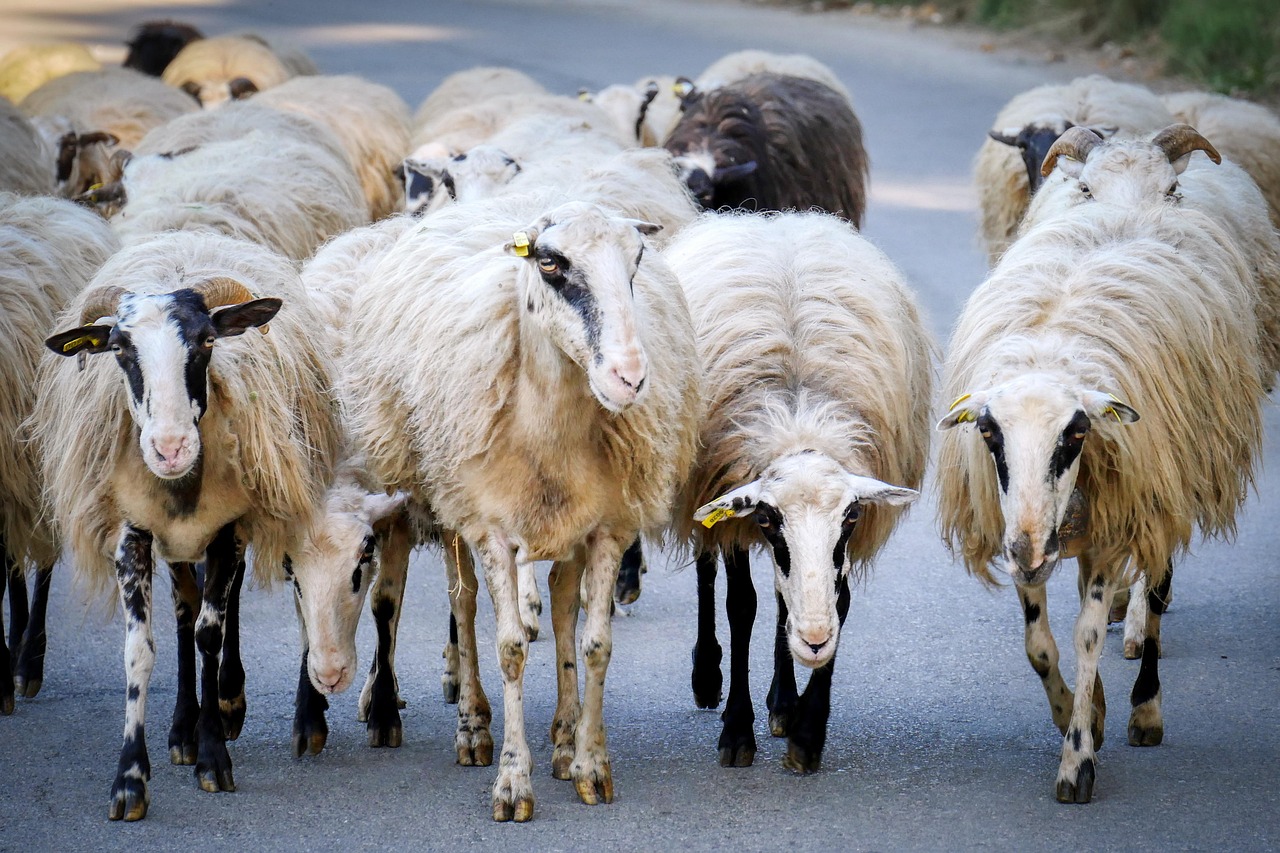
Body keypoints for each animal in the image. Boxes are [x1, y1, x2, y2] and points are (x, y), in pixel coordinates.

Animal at [32, 229, 343, 821]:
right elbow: (142, 648)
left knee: (218, 609)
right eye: (119, 348)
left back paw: (226, 702)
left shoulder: (229, 530)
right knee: (183, 609)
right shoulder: (132, 534)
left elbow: (210, 633)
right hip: (173, 545)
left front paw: (214, 756)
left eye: (206, 342)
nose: (170, 448)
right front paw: (131, 779)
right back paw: (182, 728)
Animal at [341, 191, 700, 821]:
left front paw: (590, 765)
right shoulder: (492, 528)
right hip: (450, 498)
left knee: (559, 605)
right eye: (550, 263)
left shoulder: (607, 527)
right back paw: (473, 726)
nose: (628, 377)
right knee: (463, 605)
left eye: (636, 261)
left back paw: (562, 738)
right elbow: (508, 647)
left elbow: (595, 645)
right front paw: (512, 781)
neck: (550, 432)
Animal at [667, 211, 931, 772]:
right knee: (707, 569)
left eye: (851, 516)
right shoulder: (735, 509)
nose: (813, 642)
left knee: (783, 598)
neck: (799, 417)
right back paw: (707, 676)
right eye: (767, 518)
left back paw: (784, 700)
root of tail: (771, 219)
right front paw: (737, 731)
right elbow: (740, 606)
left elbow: (839, 599)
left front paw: (807, 730)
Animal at [936, 176, 1264, 804]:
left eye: (1077, 432)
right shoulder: (1028, 542)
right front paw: (1076, 714)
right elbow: (1040, 645)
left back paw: (1145, 709)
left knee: (1156, 595)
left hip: (1160, 494)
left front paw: (1077, 760)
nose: (1028, 549)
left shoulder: (1115, 528)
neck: (1049, 349)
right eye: (987, 432)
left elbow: (1087, 636)